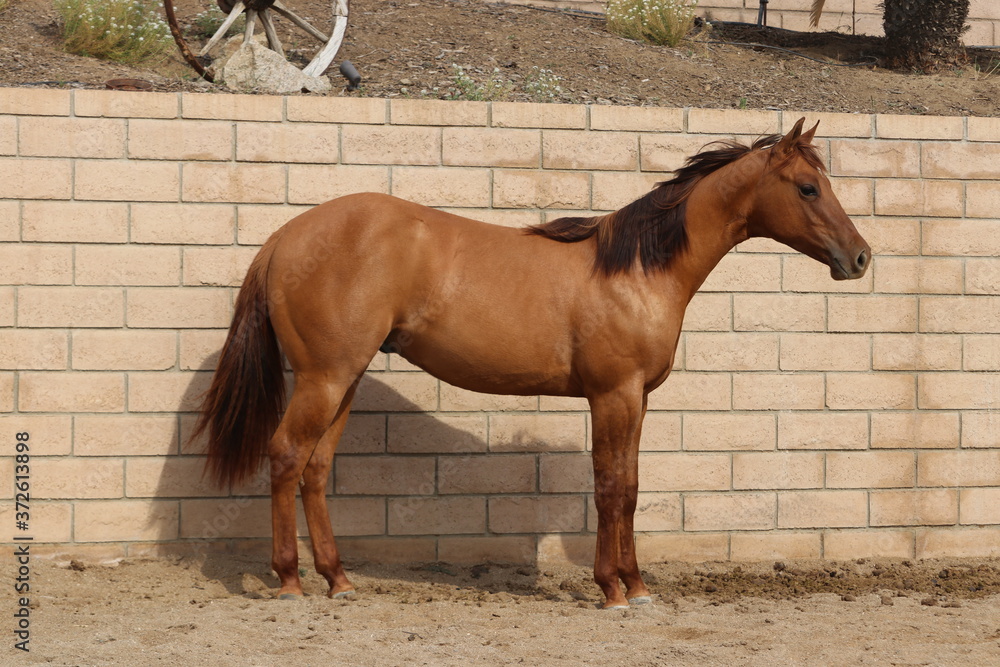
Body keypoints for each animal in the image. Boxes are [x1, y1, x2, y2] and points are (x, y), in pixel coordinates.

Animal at [193, 117, 871, 609]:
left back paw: (338, 579)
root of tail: (285, 237)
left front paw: (638, 586)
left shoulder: (639, 398)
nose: (860, 257)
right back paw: (289, 582)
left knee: (314, 469)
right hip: (325, 379)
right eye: (808, 188)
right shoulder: (613, 395)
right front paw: (612, 590)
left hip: (344, 380)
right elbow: (610, 487)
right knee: (285, 457)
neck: (636, 270)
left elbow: (630, 488)